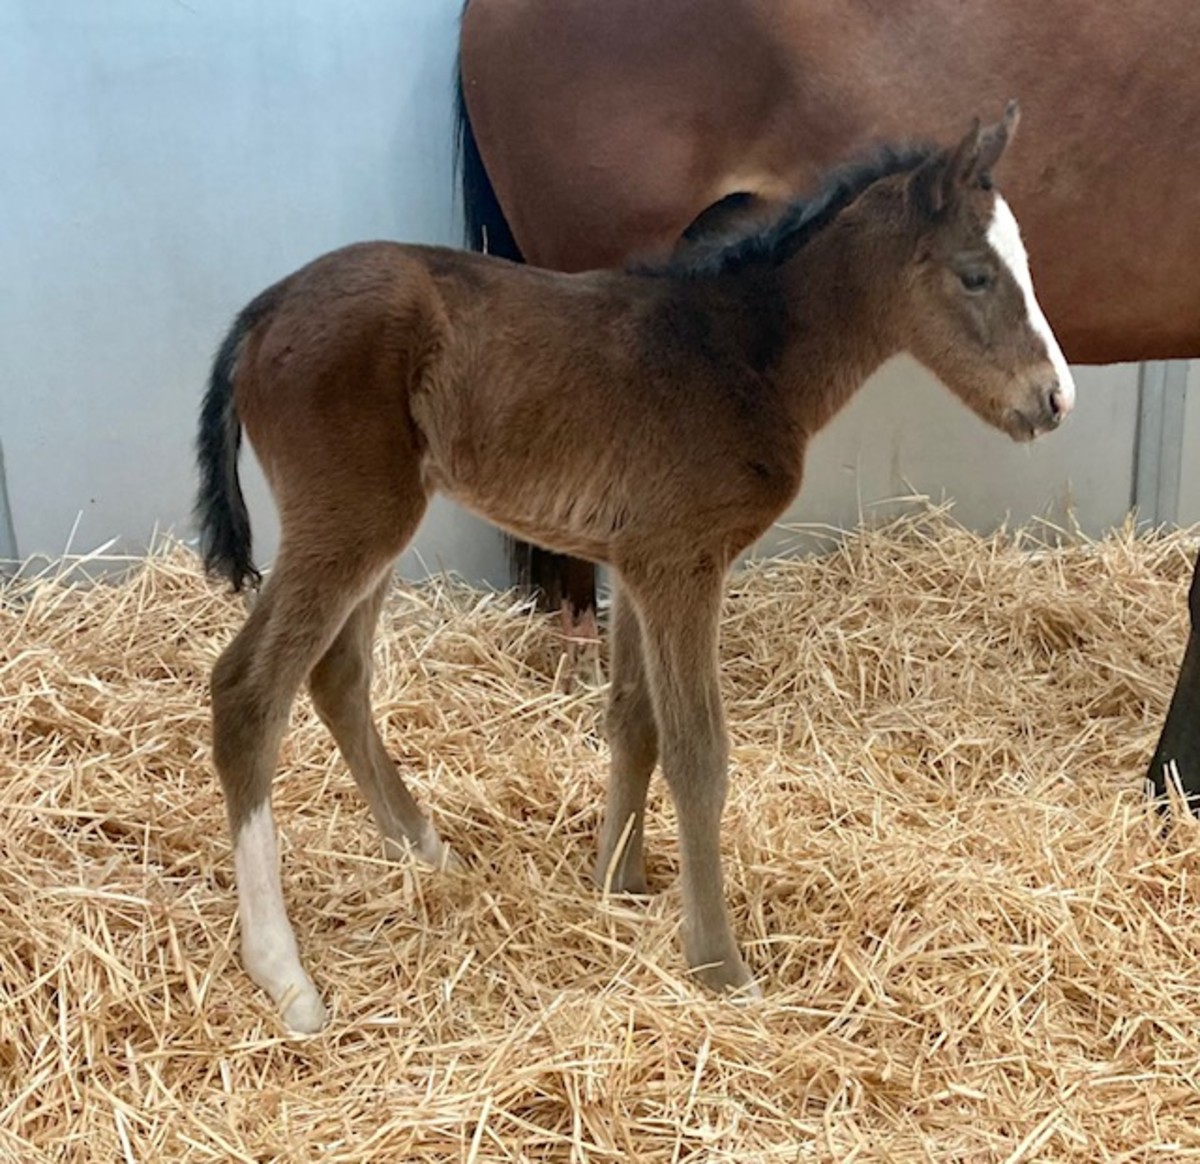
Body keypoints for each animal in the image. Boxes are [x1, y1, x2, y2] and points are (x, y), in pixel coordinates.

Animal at [196, 108, 1073, 1032]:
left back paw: (428, 850)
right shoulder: (682, 563)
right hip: (352, 519)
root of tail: (263, 309)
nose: (1054, 400)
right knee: (250, 690)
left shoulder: (635, 562)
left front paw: (617, 884)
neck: (739, 353)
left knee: (338, 673)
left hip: (377, 525)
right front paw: (719, 963)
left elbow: (632, 723)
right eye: (976, 275)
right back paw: (284, 972)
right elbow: (698, 751)